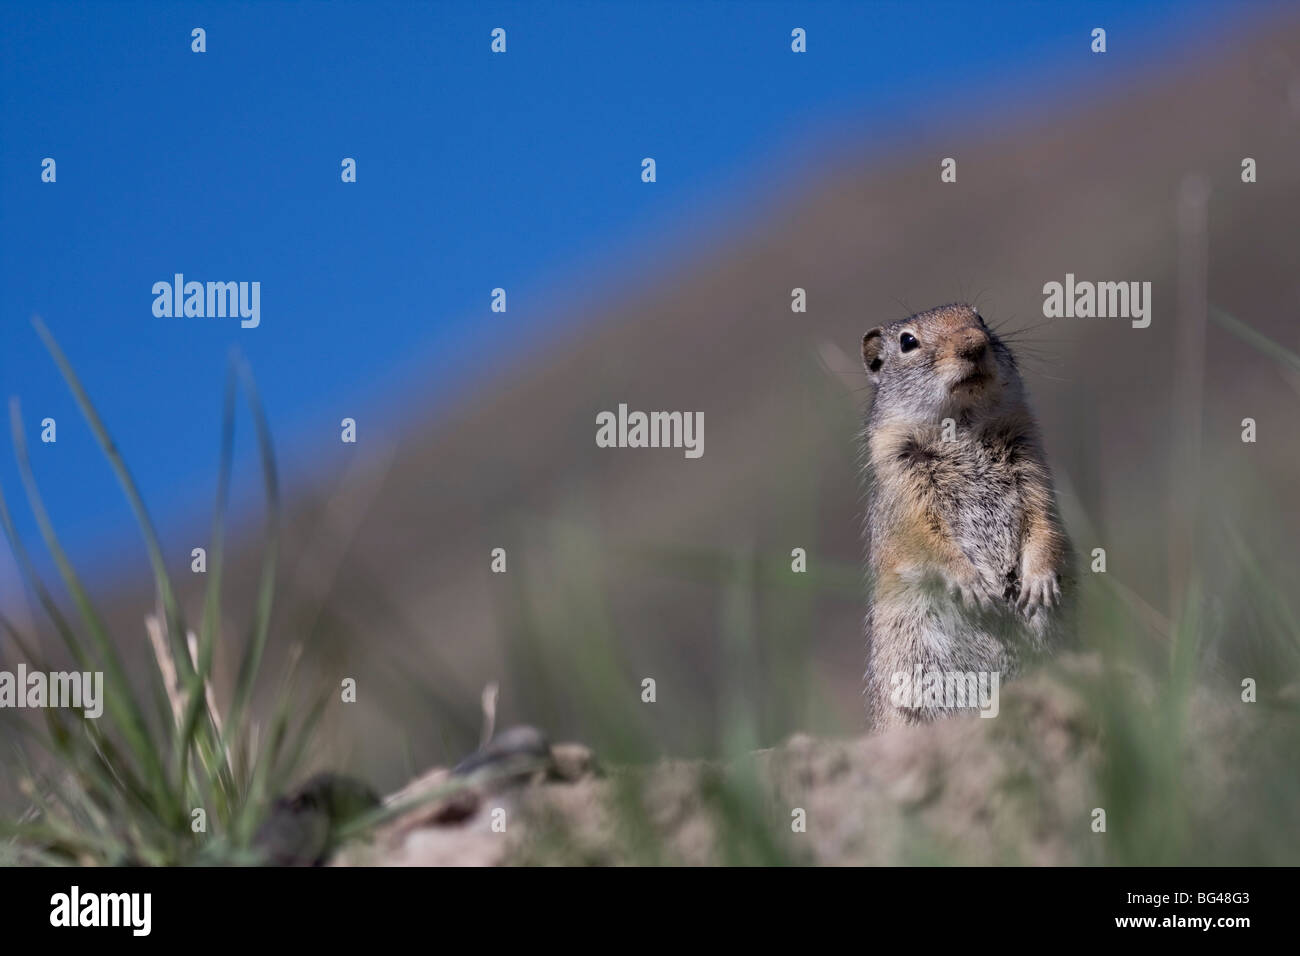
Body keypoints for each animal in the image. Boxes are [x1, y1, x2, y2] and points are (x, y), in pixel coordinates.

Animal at [859, 303, 1073, 730]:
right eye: (907, 342)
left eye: (980, 319)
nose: (973, 344)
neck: (962, 426)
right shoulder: (906, 486)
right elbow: (928, 540)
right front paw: (974, 585)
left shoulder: (1031, 461)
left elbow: (1044, 520)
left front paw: (1038, 583)